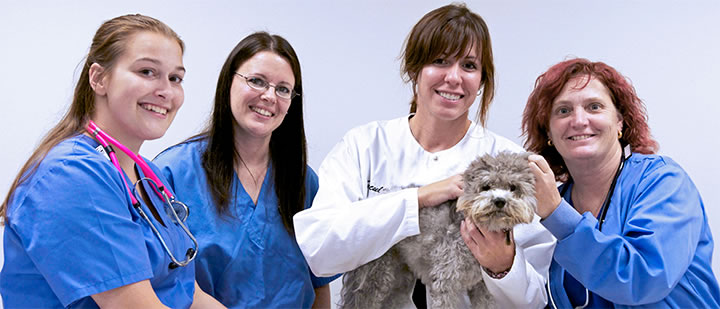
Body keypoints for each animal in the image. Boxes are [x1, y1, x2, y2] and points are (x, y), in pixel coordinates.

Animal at [342, 150, 536, 306]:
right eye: (486, 186)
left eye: (513, 187)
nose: (499, 201)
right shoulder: (445, 282)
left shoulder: (483, 288)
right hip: (375, 276)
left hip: (399, 278)